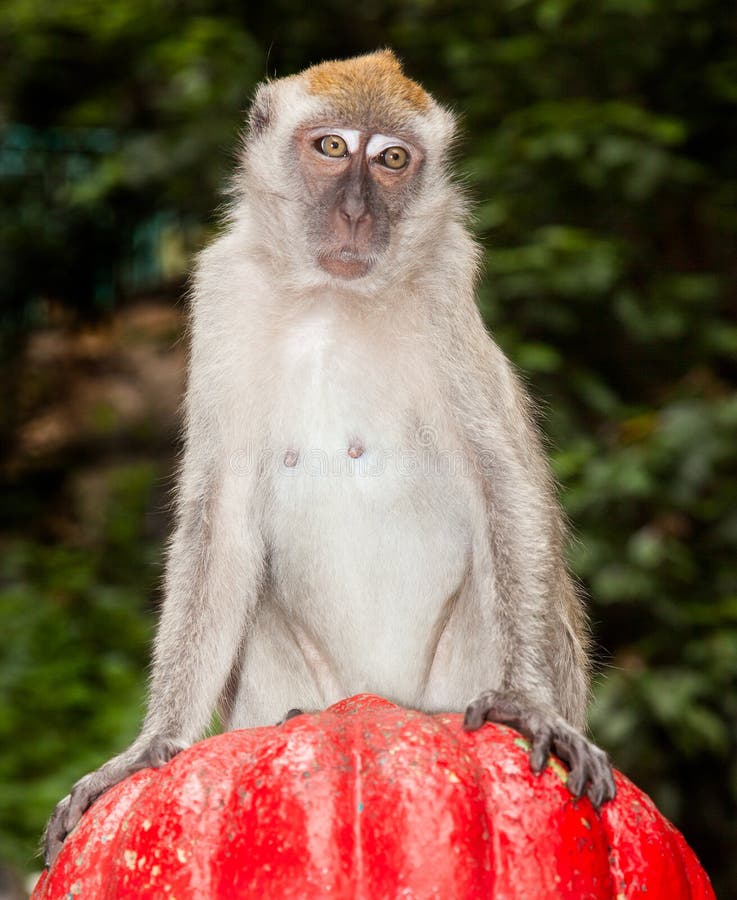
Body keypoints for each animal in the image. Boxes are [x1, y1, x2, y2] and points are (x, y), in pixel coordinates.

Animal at [44, 49, 615, 866]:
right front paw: (151, 746)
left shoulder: (446, 291)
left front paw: (527, 703)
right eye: (333, 148)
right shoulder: (223, 294)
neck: (327, 297)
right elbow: (221, 521)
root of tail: (371, 701)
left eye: (392, 160)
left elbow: (501, 482)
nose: (356, 213)